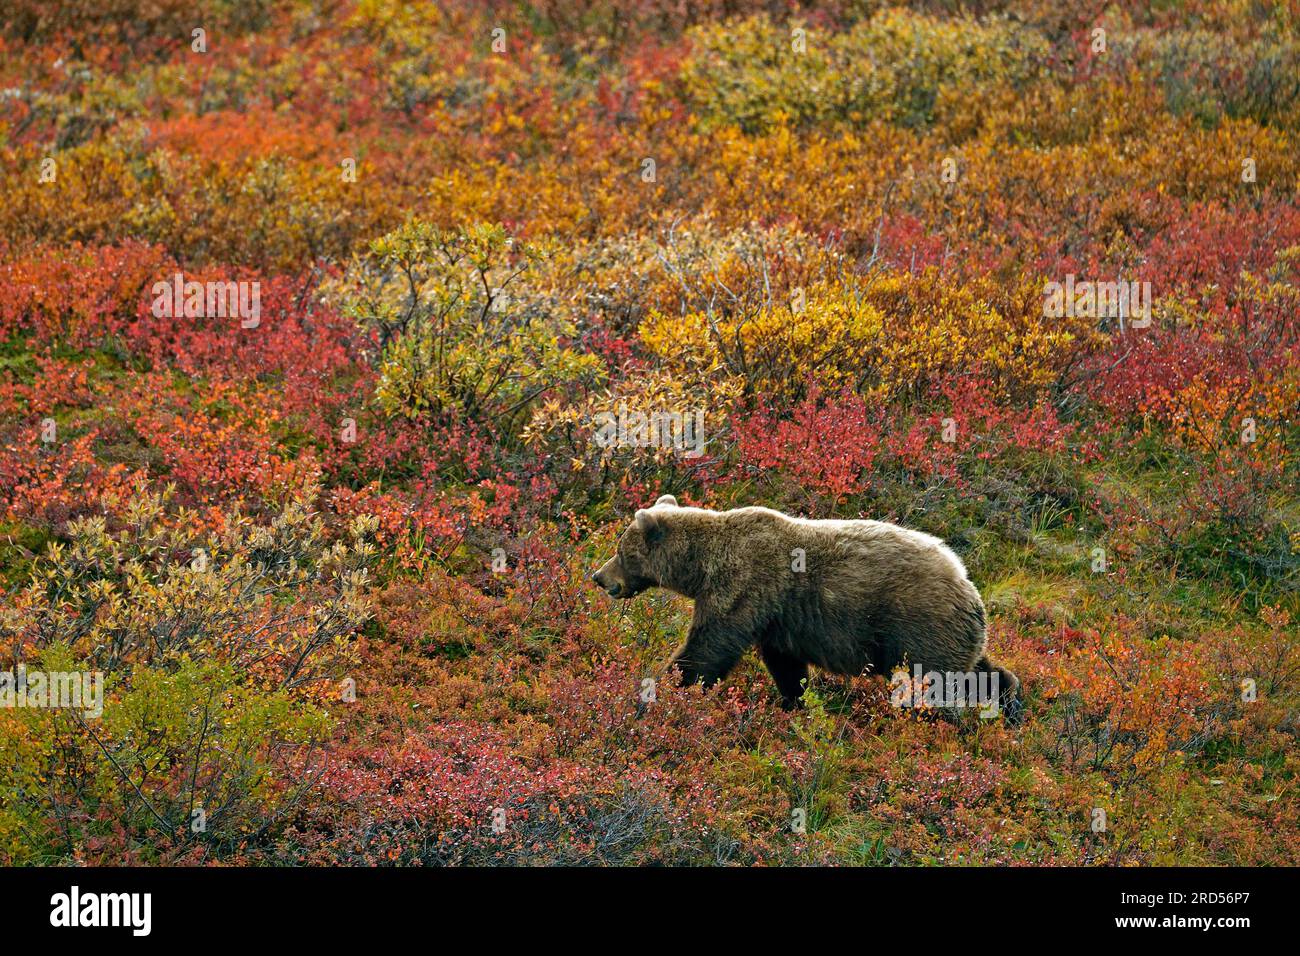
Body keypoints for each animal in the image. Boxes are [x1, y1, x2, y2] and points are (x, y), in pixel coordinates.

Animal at [591, 495, 1020, 719]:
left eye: (621, 552)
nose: (598, 576)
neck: (701, 565)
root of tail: (967, 585)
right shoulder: (778, 617)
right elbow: (784, 663)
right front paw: (793, 701)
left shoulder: (744, 586)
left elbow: (709, 647)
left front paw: (659, 690)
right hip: (952, 634)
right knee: (980, 670)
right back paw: (1008, 698)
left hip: (919, 625)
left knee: (933, 683)